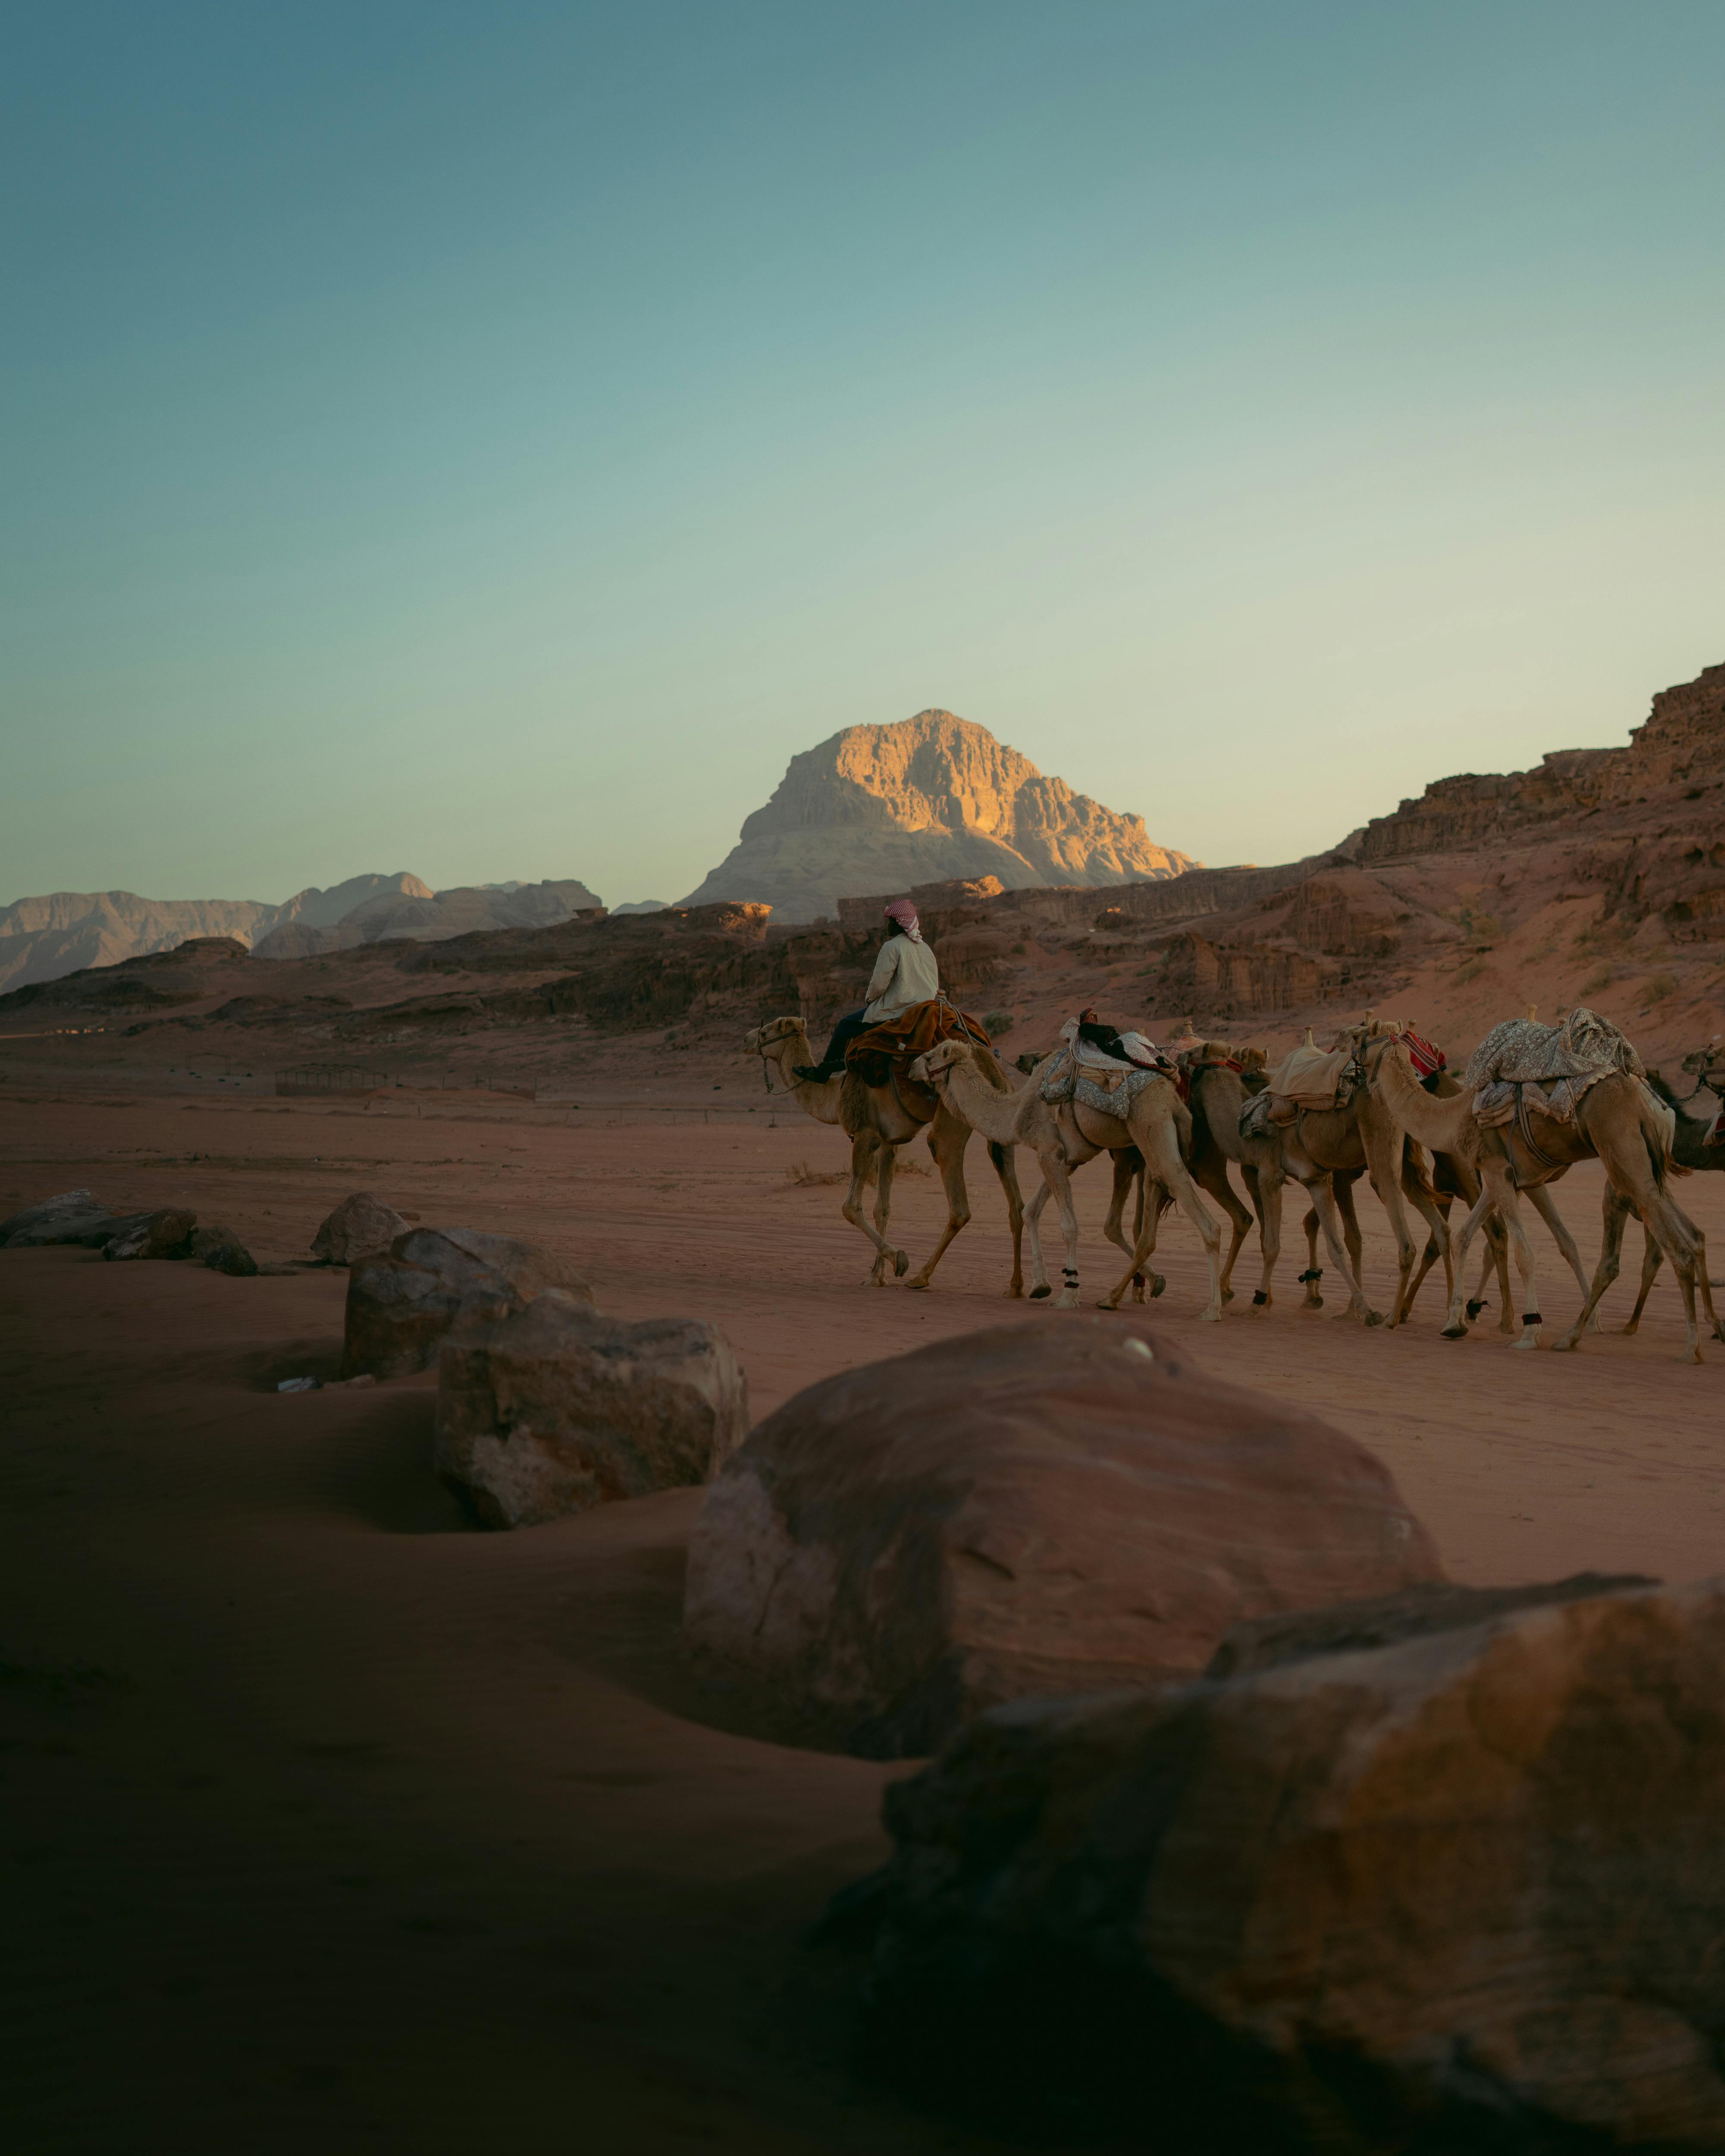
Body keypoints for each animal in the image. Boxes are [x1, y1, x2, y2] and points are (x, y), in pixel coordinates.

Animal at [746, 1015, 1025, 1292]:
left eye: (765, 1032)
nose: (747, 1041)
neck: (836, 1094)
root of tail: (988, 1066)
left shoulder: (865, 1134)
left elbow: (850, 1207)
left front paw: (898, 1260)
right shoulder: (888, 1142)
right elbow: (882, 1208)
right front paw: (876, 1277)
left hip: (951, 1118)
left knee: (957, 1202)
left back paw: (920, 1278)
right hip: (1001, 1122)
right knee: (1015, 1204)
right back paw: (1017, 1286)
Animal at [910, 1037, 1225, 1317]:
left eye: (931, 1056)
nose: (912, 1067)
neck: (1016, 1109)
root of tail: (1172, 1099)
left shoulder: (1047, 1150)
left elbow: (1068, 1226)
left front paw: (1068, 1294)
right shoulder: (1067, 1158)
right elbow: (1030, 1210)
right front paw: (1040, 1285)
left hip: (1152, 1128)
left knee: (1203, 1217)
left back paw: (1212, 1309)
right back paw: (1119, 1296)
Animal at [1368, 1035, 1717, 1361]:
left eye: (1362, 1041)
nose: (1360, 1079)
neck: (1453, 1116)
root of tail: (1649, 1099)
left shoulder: (1495, 1170)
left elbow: (1523, 1251)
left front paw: (1529, 1332)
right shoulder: (1509, 1175)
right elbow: (1468, 1236)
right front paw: (1455, 1322)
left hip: (1625, 1162)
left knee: (1674, 1251)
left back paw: (1690, 1348)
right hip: (1650, 1167)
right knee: (1691, 1237)